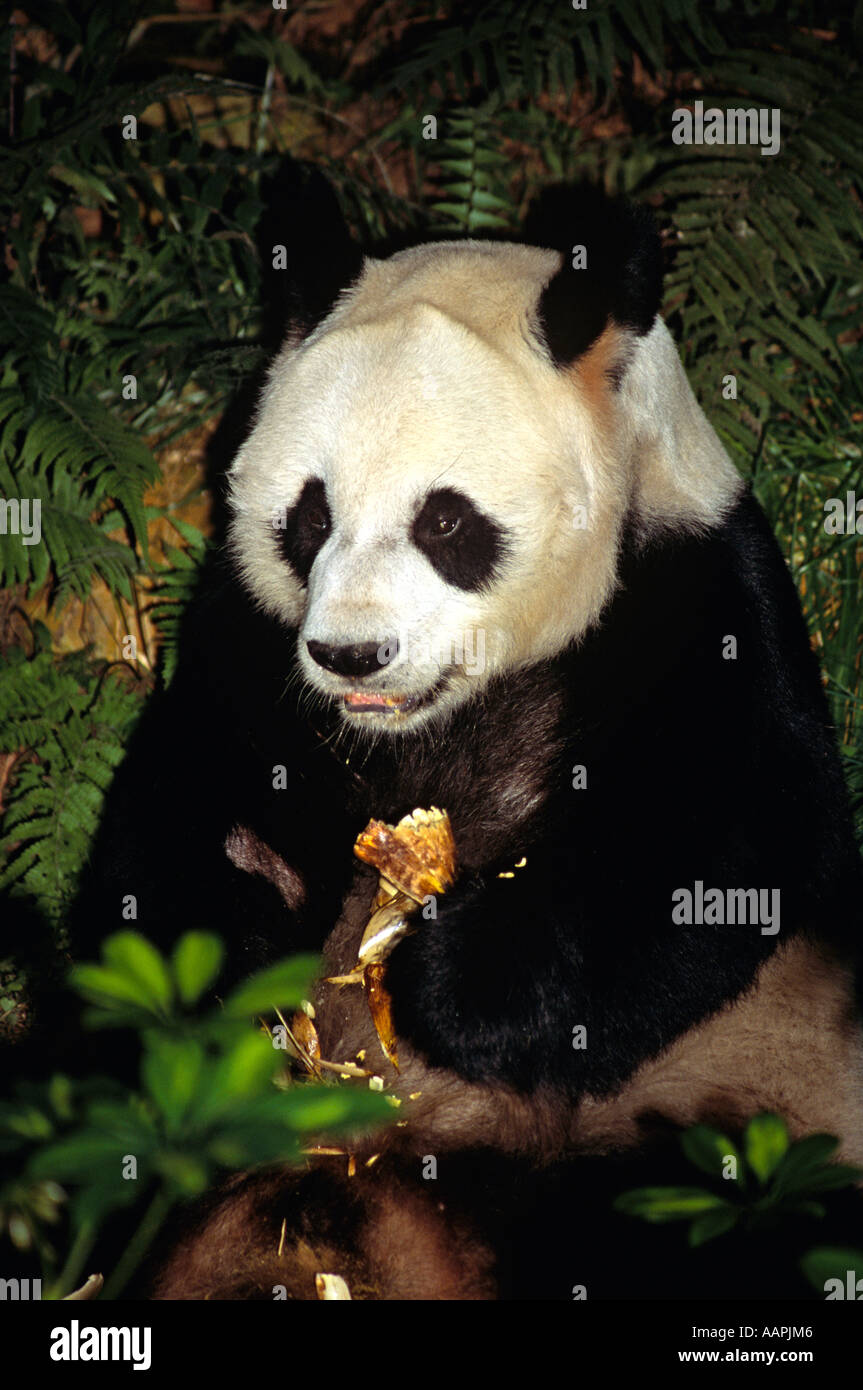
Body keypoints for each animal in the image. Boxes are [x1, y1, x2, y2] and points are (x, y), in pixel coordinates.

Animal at [76, 179, 863, 1299]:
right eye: (308, 517)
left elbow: (728, 851)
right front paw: (226, 938)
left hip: (732, 1110)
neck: (433, 718)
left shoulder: (700, 600)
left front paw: (446, 981)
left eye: (444, 522)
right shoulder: (254, 639)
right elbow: (178, 814)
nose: (352, 655)